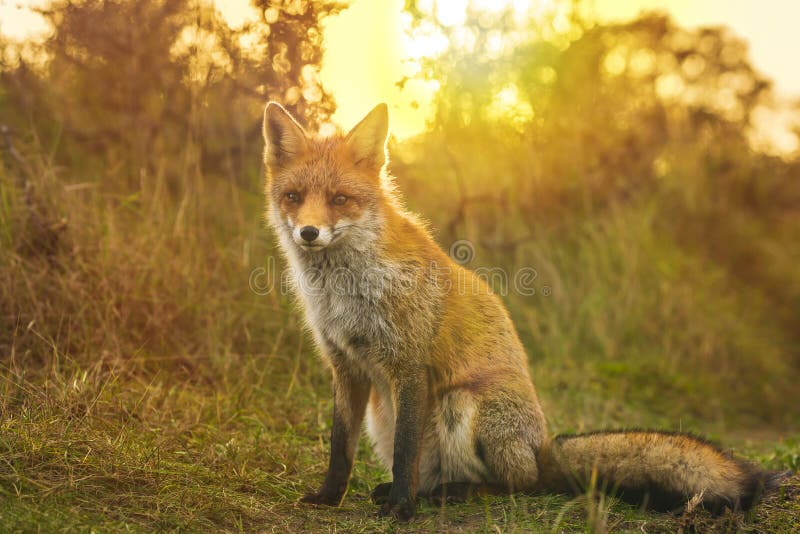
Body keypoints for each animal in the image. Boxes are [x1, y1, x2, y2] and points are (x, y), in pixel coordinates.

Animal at [261, 101, 787, 520]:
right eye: (293, 198)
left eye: (339, 199)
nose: (308, 232)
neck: (343, 292)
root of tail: (542, 448)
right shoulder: (346, 367)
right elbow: (340, 449)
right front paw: (329, 499)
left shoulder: (410, 366)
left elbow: (406, 450)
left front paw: (401, 510)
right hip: (381, 414)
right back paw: (420, 491)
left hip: (464, 403)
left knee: (515, 485)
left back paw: (451, 493)